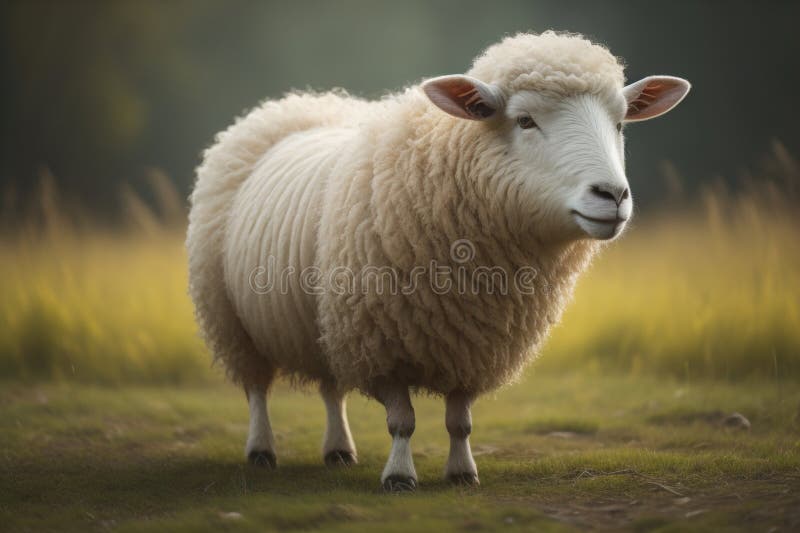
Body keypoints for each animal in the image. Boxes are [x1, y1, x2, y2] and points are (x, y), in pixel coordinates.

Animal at [186, 31, 690, 491]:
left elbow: (459, 422)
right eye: (525, 120)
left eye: (620, 124)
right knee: (256, 389)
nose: (613, 196)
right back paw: (262, 449)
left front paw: (463, 472)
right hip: (233, 319)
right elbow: (402, 422)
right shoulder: (381, 343)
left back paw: (338, 449)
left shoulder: (472, 344)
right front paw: (399, 475)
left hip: (326, 321)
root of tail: (292, 105)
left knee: (331, 387)